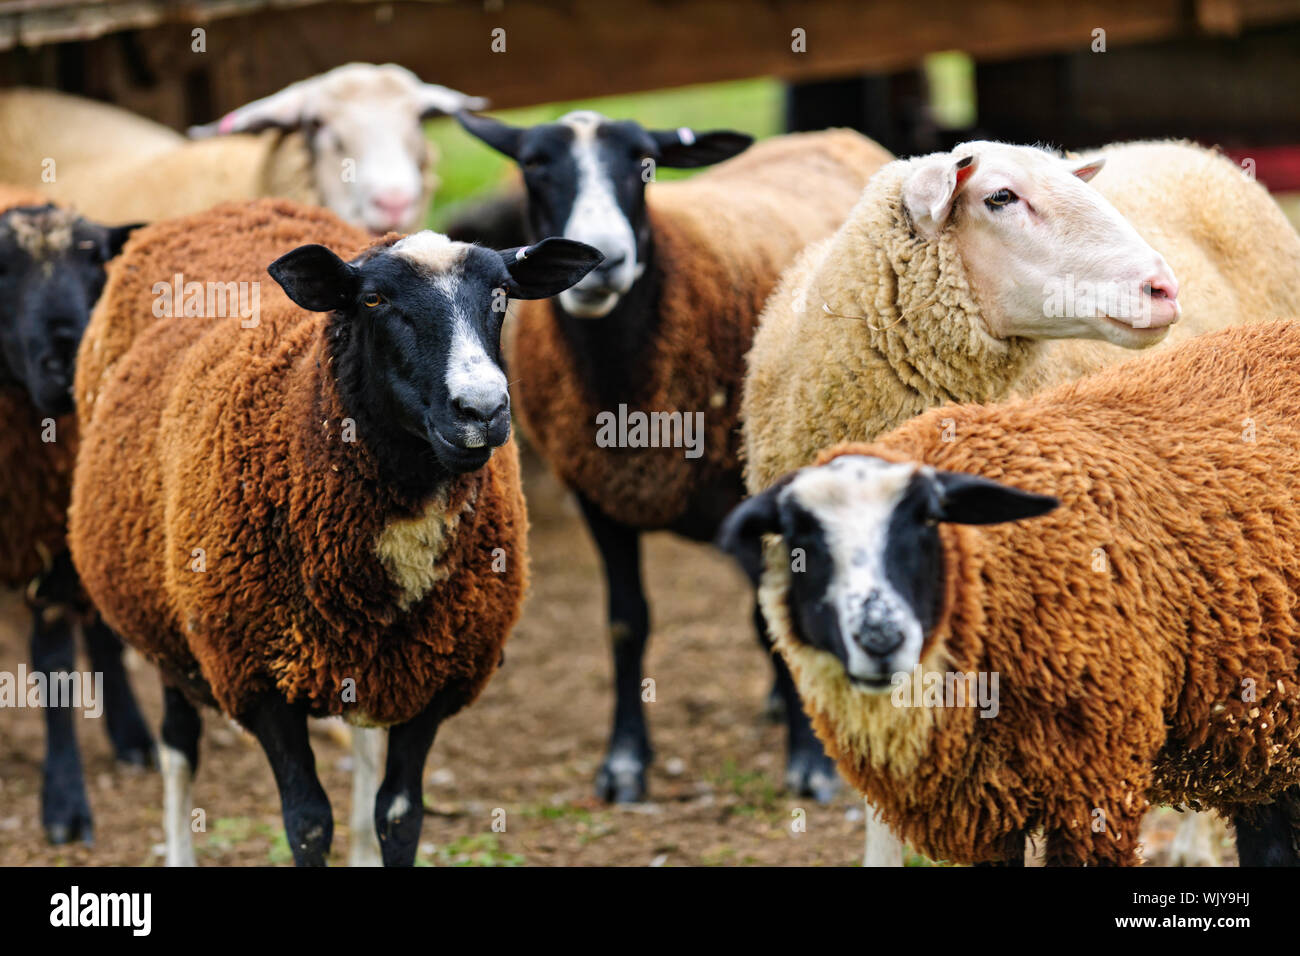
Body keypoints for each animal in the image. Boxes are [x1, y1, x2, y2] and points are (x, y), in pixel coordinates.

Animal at [67, 198, 603, 866]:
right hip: (163, 621)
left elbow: (399, 815)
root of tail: (234, 206)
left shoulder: (436, 676)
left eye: (503, 295)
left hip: (373, 664)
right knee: (178, 744)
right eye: (372, 300)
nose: (481, 410)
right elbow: (307, 821)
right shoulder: (257, 679)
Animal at [457, 108, 893, 802]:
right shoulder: (597, 493)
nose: (603, 259)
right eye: (533, 164)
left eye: (645, 163)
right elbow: (626, 623)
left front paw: (810, 764)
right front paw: (624, 764)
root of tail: (831, 133)